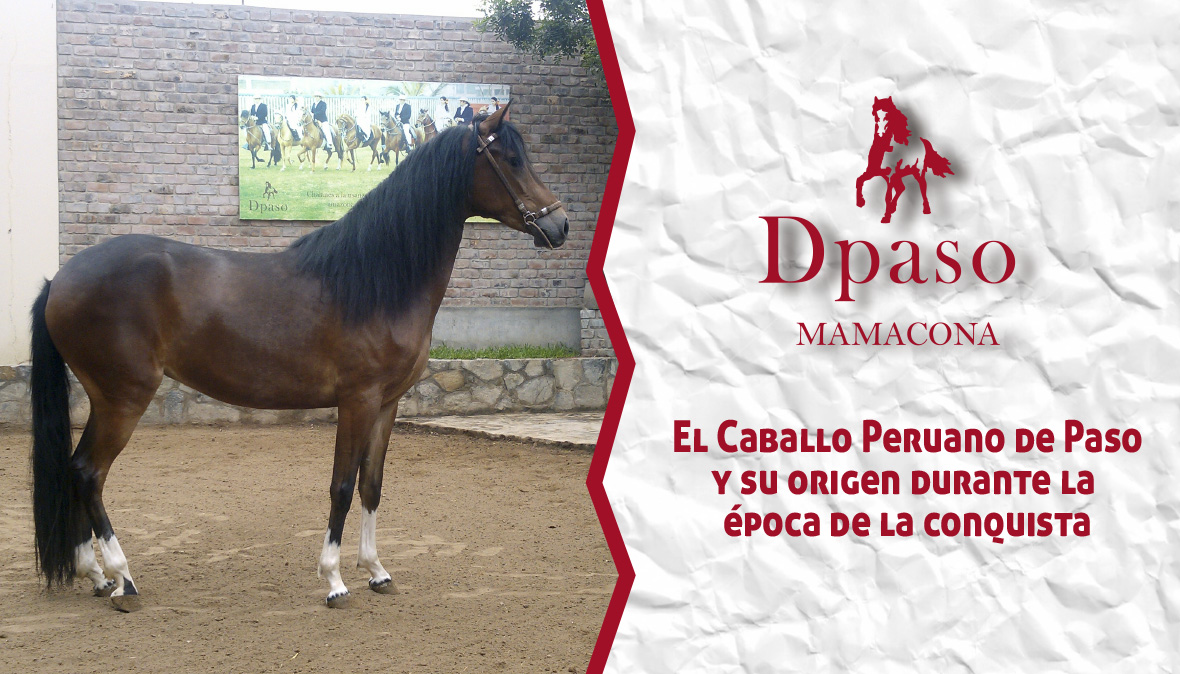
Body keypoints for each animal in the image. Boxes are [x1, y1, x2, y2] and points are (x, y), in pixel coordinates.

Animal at [28, 104, 570, 612]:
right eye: (512, 159)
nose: (559, 225)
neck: (375, 280)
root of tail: (60, 280)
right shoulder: (357, 401)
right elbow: (342, 487)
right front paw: (334, 580)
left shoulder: (387, 404)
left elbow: (372, 485)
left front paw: (376, 571)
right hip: (124, 398)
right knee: (89, 474)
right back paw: (123, 578)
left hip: (108, 399)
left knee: (74, 470)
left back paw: (94, 575)